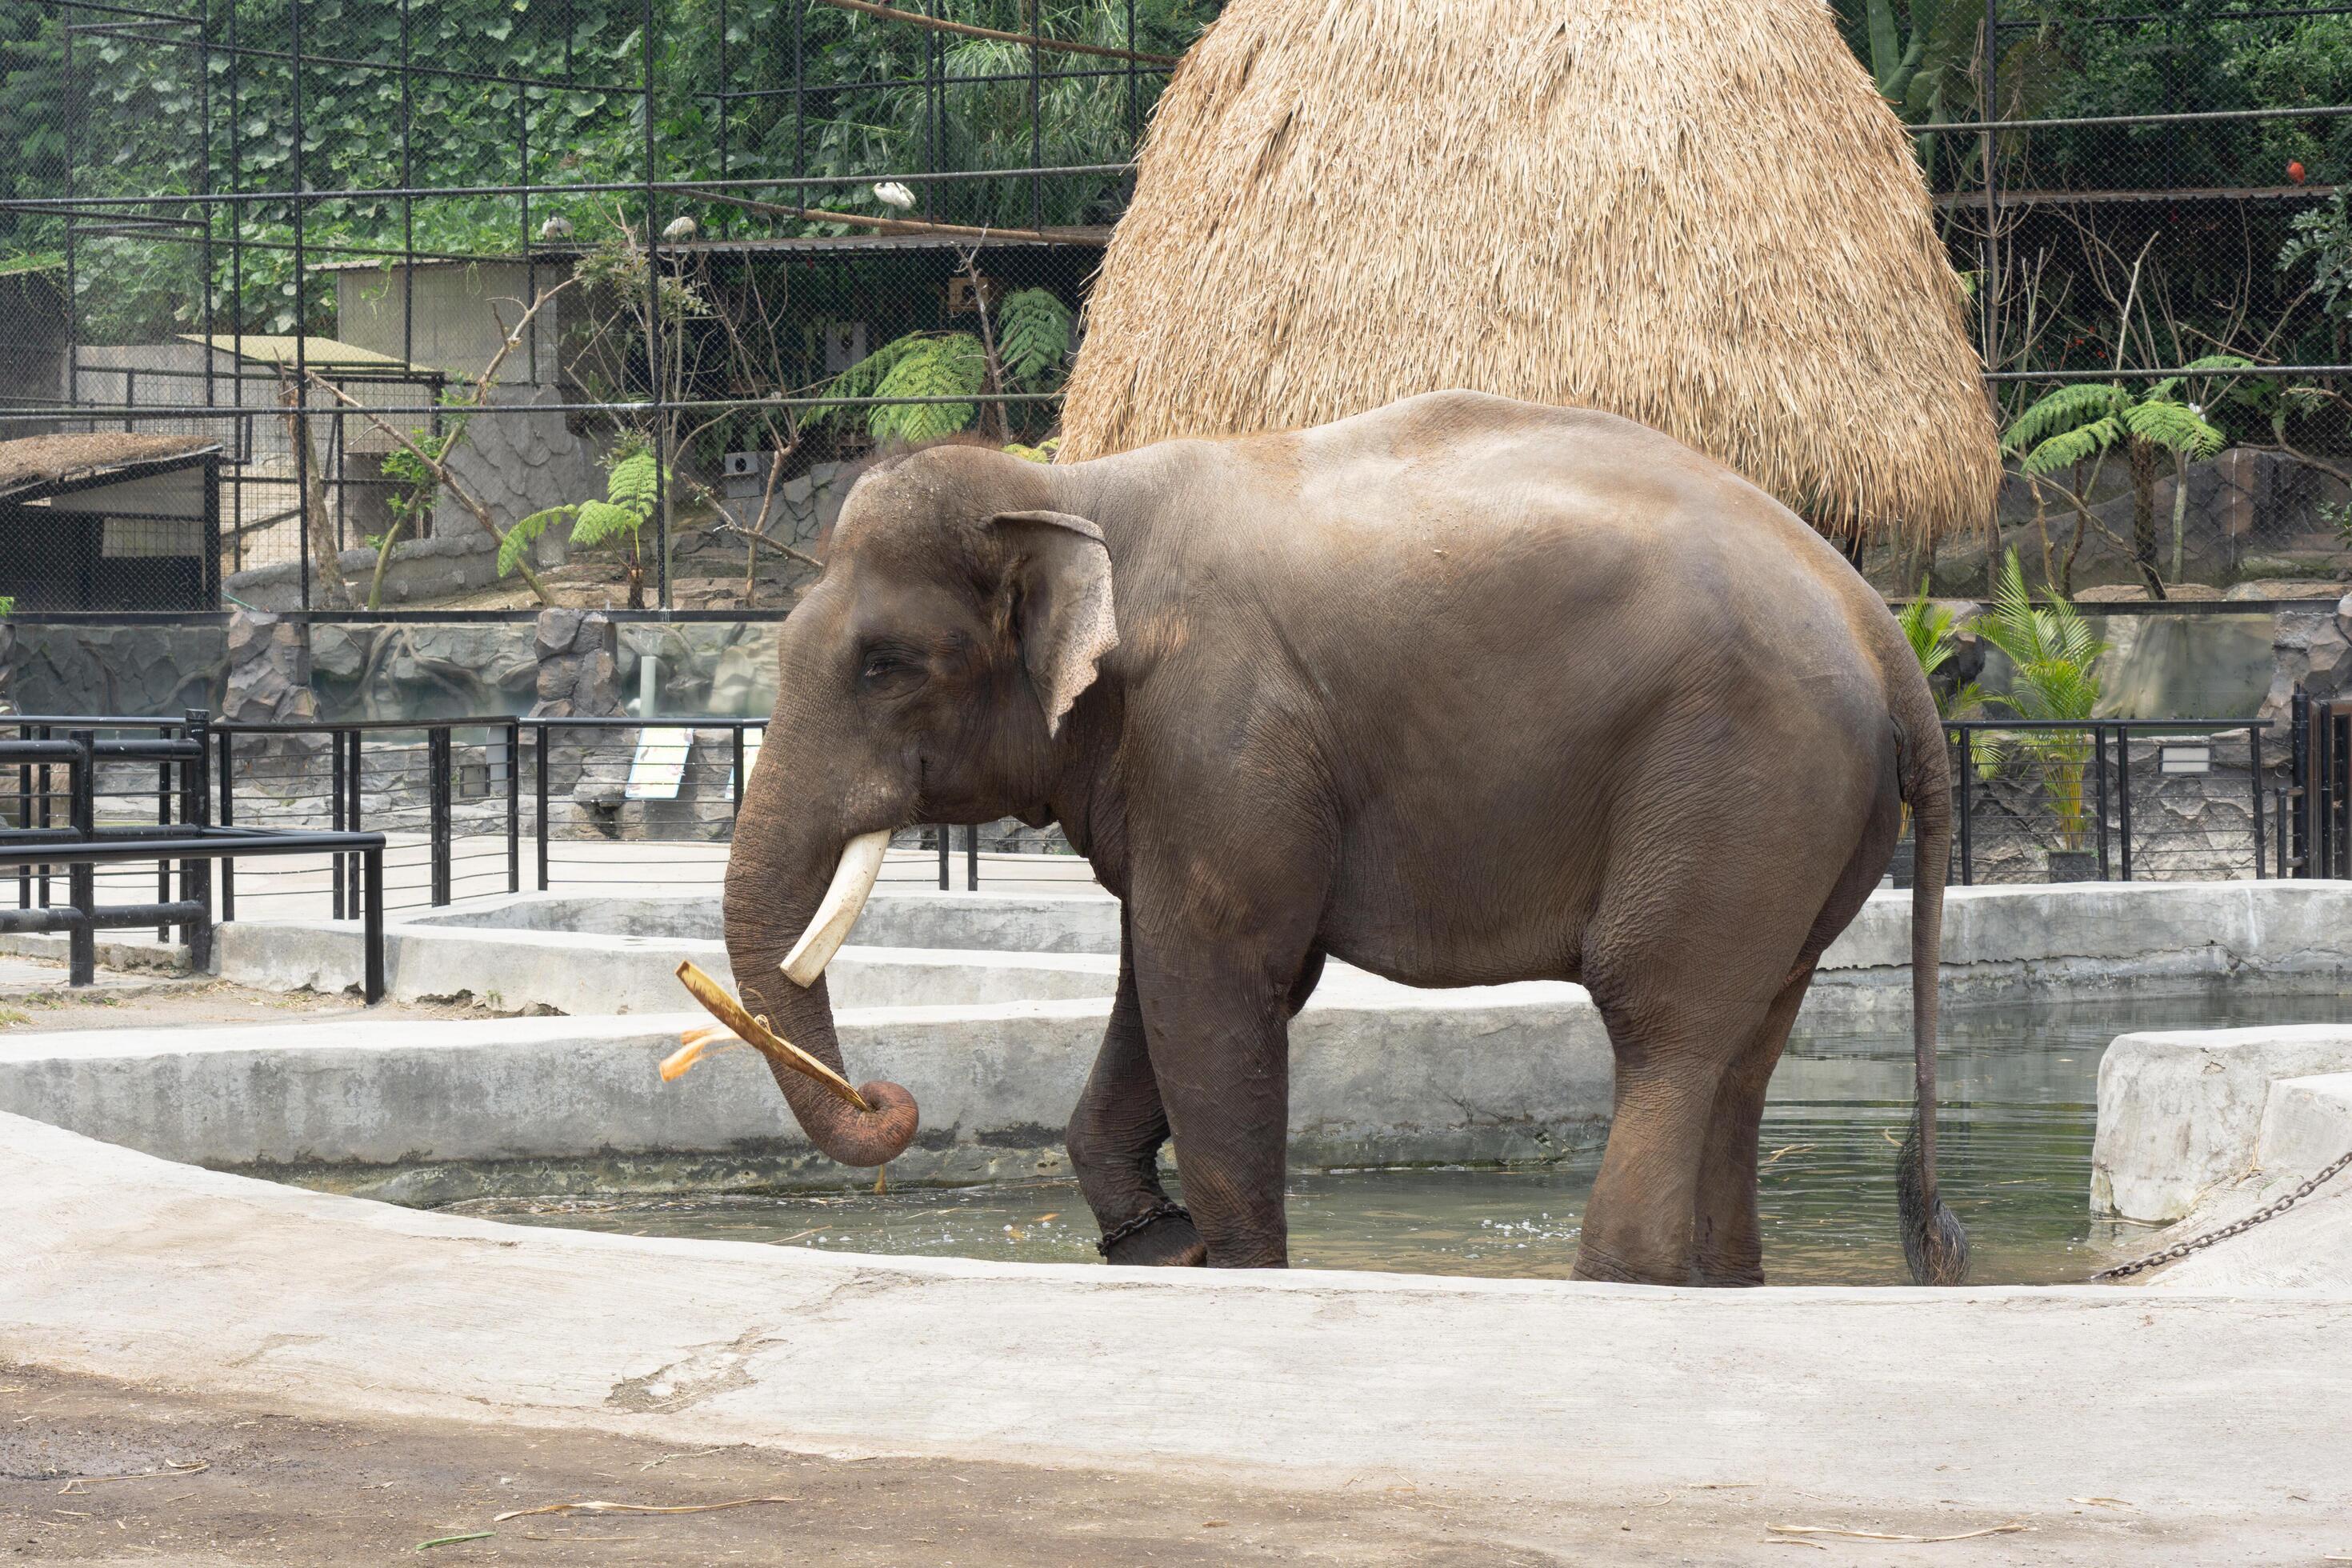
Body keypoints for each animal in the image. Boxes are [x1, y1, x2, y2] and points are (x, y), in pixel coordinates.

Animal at [723, 389, 1968, 1288]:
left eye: (884, 666)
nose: (887, 1098)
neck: (1069, 487)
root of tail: (1874, 618)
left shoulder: (1225, 728)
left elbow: (1214, 977)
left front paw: (1235, 1265)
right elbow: (1164, 977)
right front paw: (1160, 1243)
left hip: (1739, 773)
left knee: (1662, 1021)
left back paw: (1621, 1279)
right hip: (1809, 813)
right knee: (1747, 1041)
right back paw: (1724, 1279)